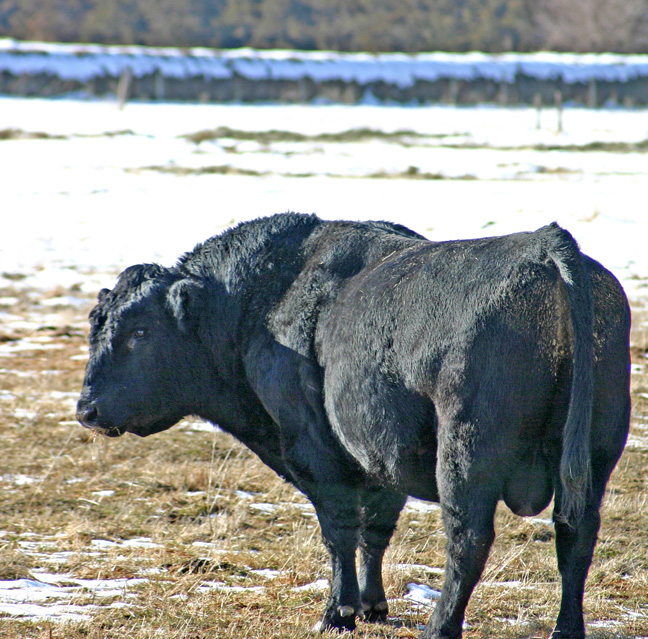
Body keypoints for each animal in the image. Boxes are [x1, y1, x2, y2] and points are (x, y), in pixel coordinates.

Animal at [77, 213, 630, 639]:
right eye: (96, 325)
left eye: (140, 332)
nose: (87, 409)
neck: (268, 300)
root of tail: (545, 245)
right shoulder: (384, 456)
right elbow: (375, 530)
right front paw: (373, 605)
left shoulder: (316, 452)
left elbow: (340, 530)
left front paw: (338, 613)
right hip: (595, 453)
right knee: (575, 535)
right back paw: (567, 629)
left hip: (466, 452)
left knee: (468, 539)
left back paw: (439, 626)